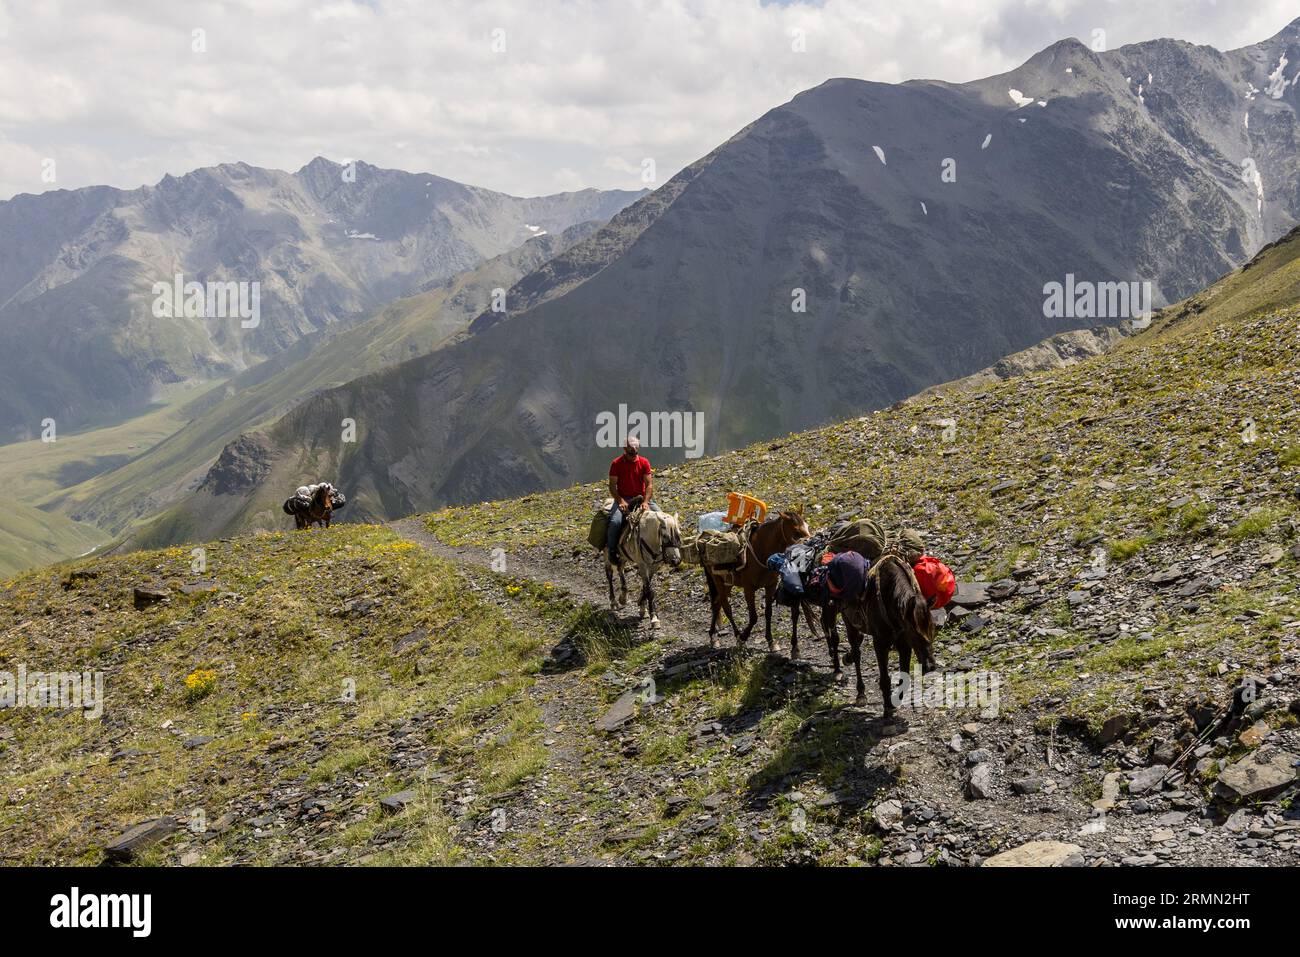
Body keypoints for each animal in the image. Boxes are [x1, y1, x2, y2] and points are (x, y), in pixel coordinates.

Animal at [702, 507, 810, 650]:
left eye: (807, 526)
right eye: (796, 530)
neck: (761, 551)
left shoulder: (771, 586)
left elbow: (768, 612)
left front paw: (771, 641)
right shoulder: (748, 589)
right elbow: (753, 617)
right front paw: (743, 637)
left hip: (727, 583)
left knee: (716, 604)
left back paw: (713, 636)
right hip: (718, 581)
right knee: (726, 607)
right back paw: (736, 635)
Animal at [838, 553, 938, 715]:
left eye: (932, 629)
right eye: (914, 631)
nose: (930, 666)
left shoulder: (904, 643)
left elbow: (905, 677)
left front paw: (895, 699)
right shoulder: (880, 643)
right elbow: (885, 678)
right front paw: (887, 706)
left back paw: (847, 658)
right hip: (849, 622)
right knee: (857, 652)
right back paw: (861, 694)